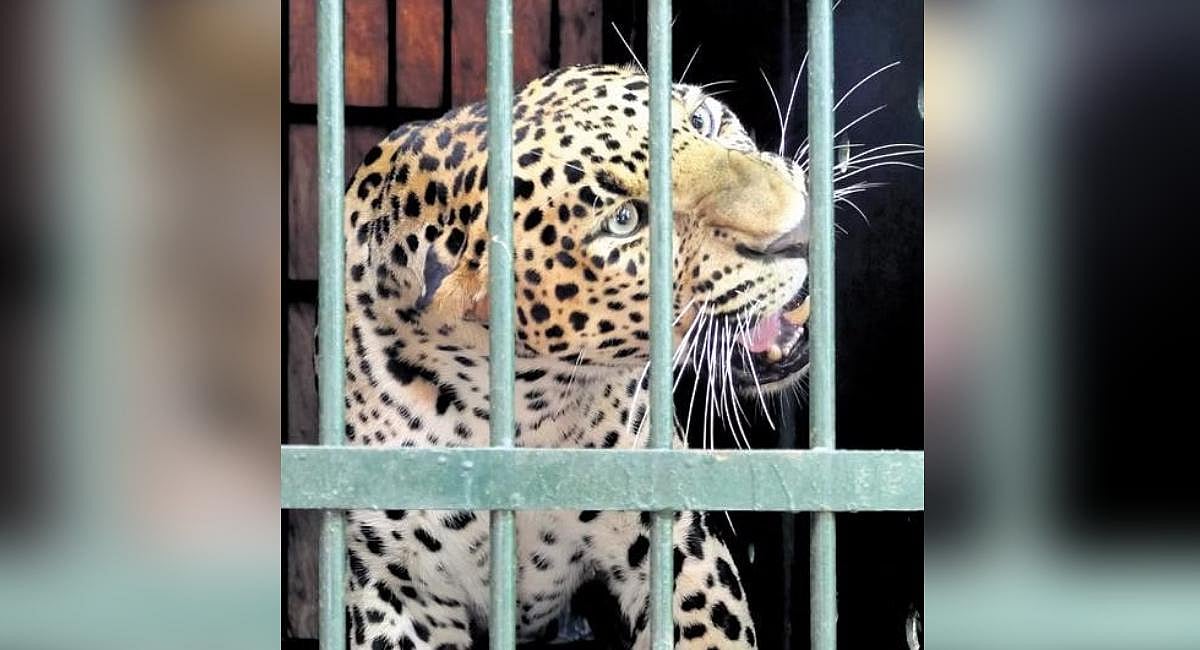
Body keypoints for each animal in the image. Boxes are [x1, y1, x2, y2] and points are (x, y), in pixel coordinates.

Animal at [341, 63, 813, 649]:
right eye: (625, 220)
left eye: (703, 120)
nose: (798, 231)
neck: (524, 412)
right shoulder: (399, 589)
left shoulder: (678, 542)